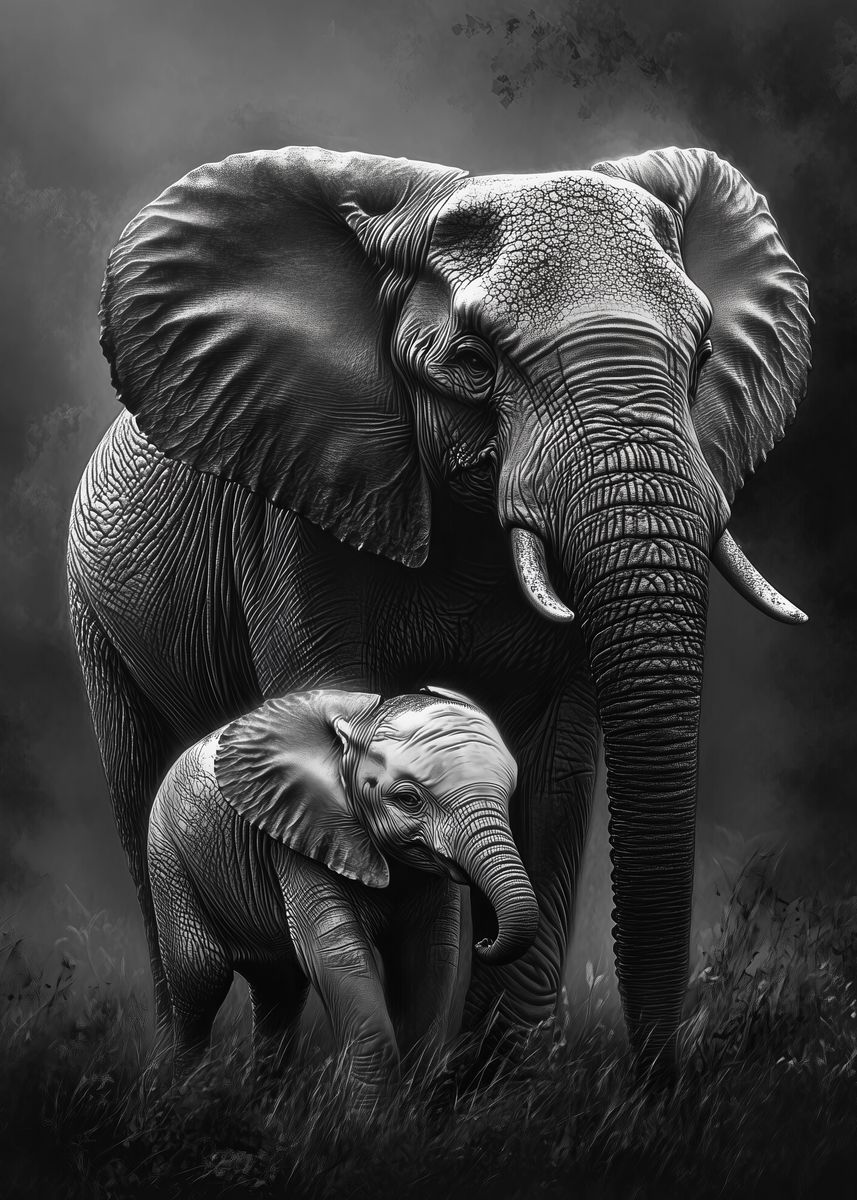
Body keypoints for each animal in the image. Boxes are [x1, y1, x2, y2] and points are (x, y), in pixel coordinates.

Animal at [147, 686, 535, 1098]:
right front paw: (370, 1115)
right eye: (409, 799)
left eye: (510, 792)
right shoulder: (301, 834)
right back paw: (187, 1098)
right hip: (166, 853)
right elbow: (337, 953)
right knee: (203, 974)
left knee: (280, 986)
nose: (484, 941)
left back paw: (266, 1101)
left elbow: (427, 955)